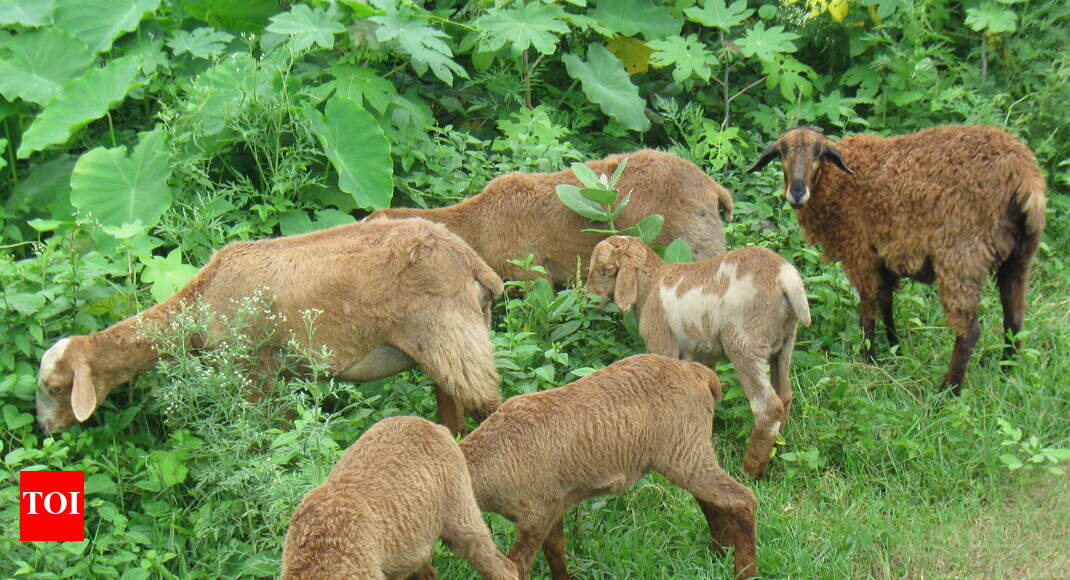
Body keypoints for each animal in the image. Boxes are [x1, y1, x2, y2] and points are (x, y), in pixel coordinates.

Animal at [36, 217, 504, 435]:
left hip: (452, 337)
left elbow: (271, 438)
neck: (202, 301)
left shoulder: (254, 371)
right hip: (445, 346)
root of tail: (474, 264)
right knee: (453, 418)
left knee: (491, 406)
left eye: (56, 387)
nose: (45, 429)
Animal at [460, 354, 758, 579]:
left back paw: (744, 571)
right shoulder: (553, 504)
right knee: (712, 501)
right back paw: (718, 554)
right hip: (689, 450)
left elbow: (516, 566)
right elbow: (556, 552)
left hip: (684, 448)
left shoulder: (537, 512)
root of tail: (698, 373)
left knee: (741, 499)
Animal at [586, 236, 811, 479]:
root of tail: (785, 277)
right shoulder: (702, 356)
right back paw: (777, 448)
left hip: (744, 343)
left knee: (767, 407)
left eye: (605, 269)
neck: (651, 285)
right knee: (785, 395)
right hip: (785, 343)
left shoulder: (662, 343)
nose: (588, 299)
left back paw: (750, 470)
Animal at [747, 125, 1047, 390]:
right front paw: (895, 350)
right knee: (1014, 319)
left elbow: (868, 310)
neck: (836, 181)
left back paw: (948, 391)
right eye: (782, 152)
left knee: (969, 330)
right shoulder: (885, 258)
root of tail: (1023, 176)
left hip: (962, 257)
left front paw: (869, 360)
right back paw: (1007, 372)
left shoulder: (860, 253)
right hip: (1019, 258)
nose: (797, 192)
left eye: (819, 153)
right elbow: (887, 305)